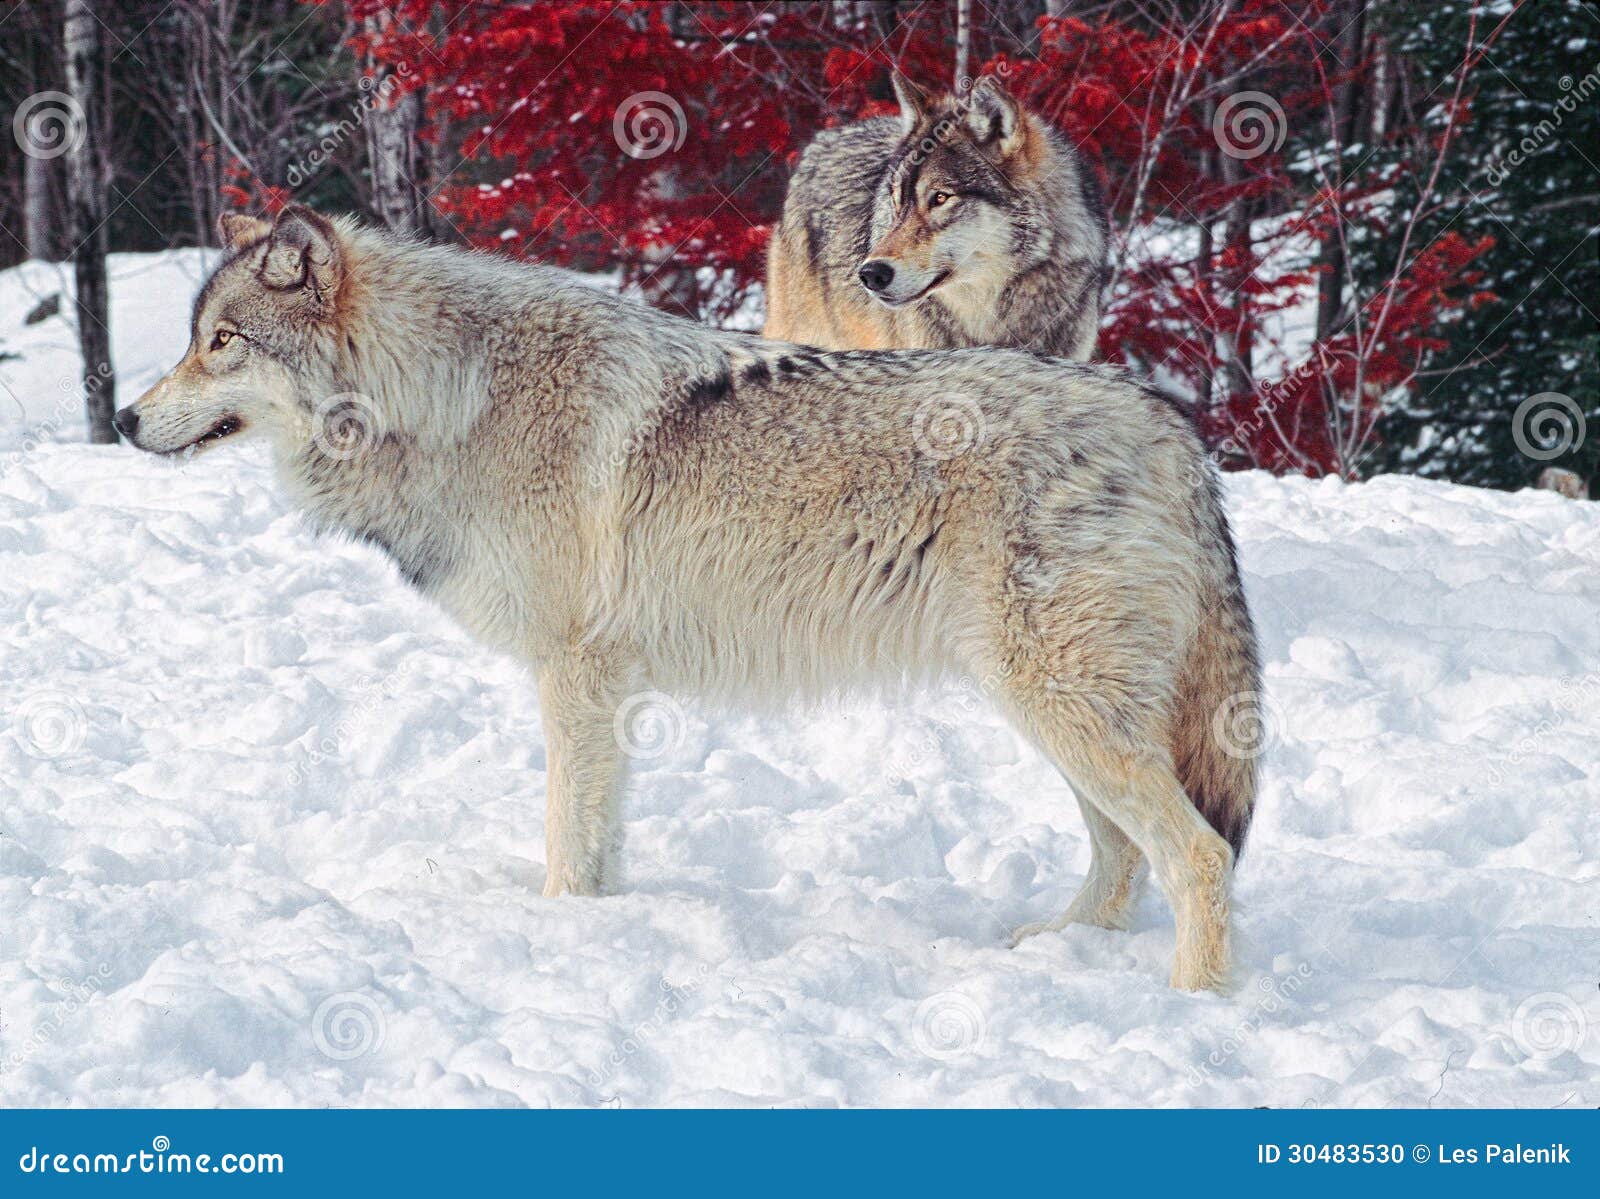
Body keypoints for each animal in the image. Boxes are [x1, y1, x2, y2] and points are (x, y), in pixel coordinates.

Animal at [114, 206, 1260, 992]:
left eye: (222, 342)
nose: (123, 419)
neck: (446, 397)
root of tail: (1174, 433)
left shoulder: (573, 671)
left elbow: (564, 840)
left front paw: (558, 930)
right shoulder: (608, 686)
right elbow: (600, 836)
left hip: (1062, 708)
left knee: (1198, 854)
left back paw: (1189, 1003)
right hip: (1057, 715)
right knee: (1125, 855)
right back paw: (1059, 952)